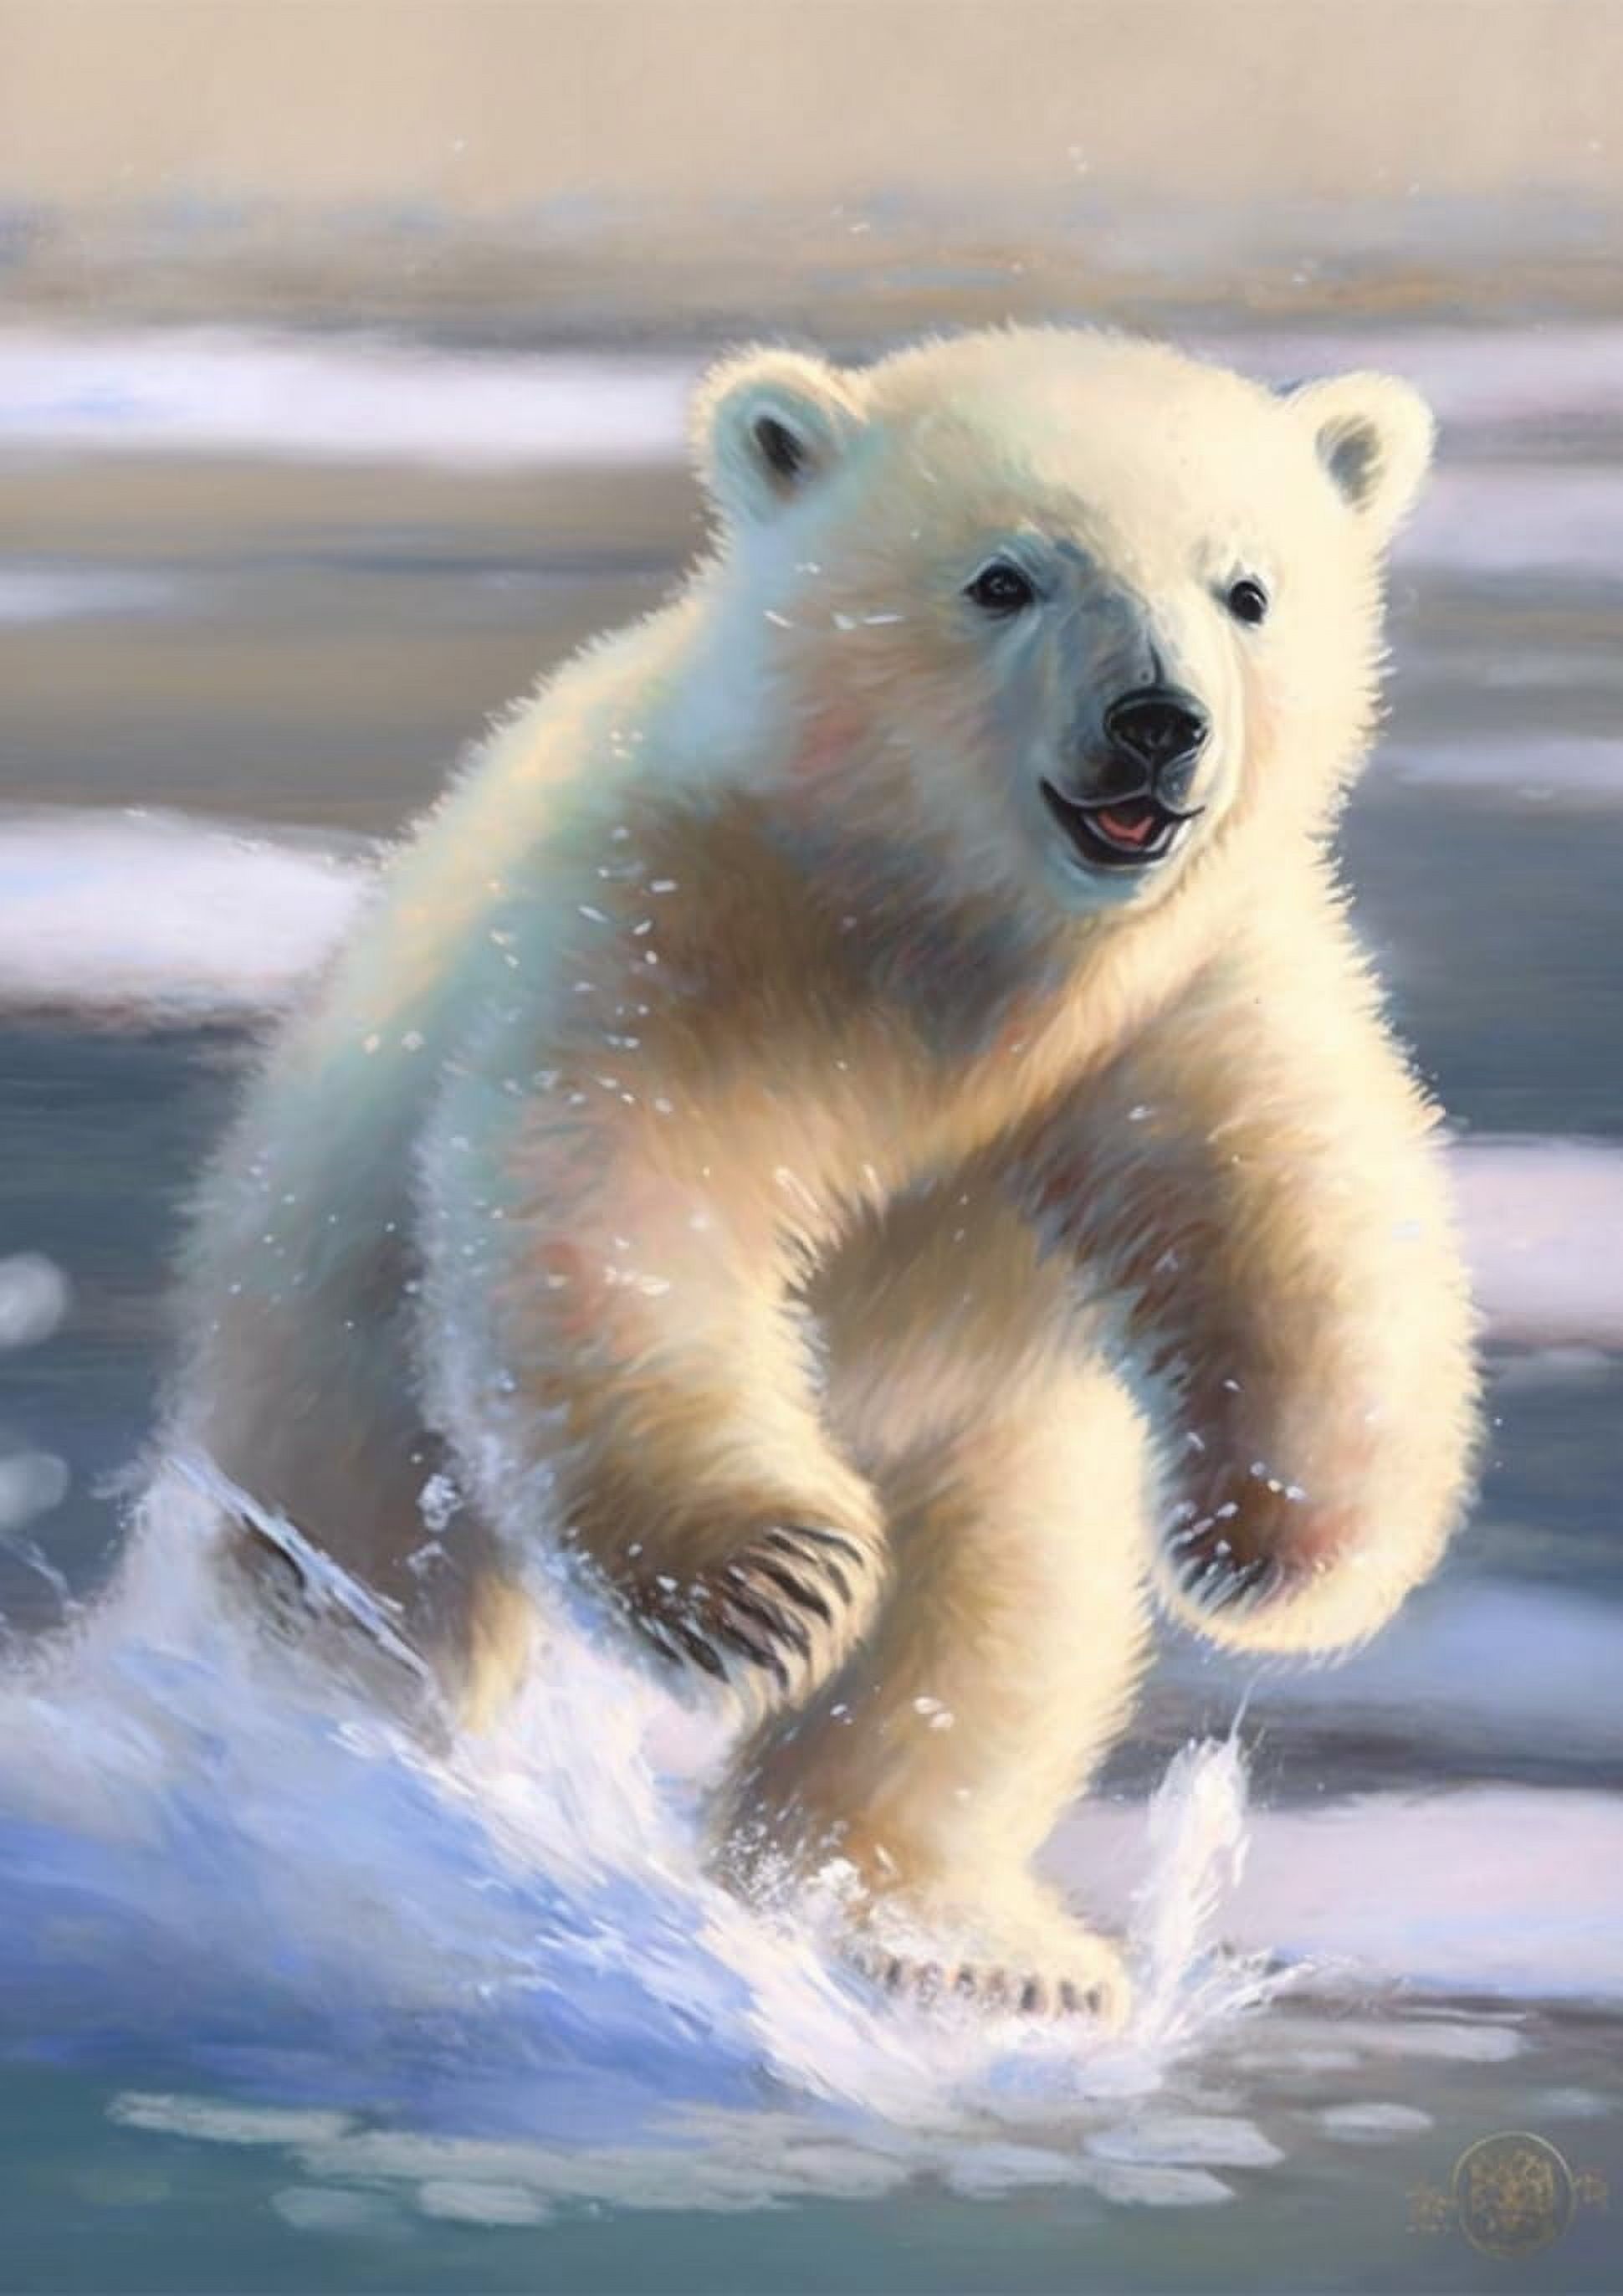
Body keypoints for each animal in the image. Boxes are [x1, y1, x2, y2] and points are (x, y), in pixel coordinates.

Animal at [173, 326, 1479, 2025]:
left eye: (1245, 588)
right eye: (1005, 578)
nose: (1158, 718)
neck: (950, 927)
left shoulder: (1179, 987)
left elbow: (1295, 1188)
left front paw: (1274, 1538)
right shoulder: (687, 924)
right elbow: (623, 1204)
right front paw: (768, 1583)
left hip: (996, 1445)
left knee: (991, 1629)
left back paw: (952, 1937)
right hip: (335, 1318)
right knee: (363, 1562)